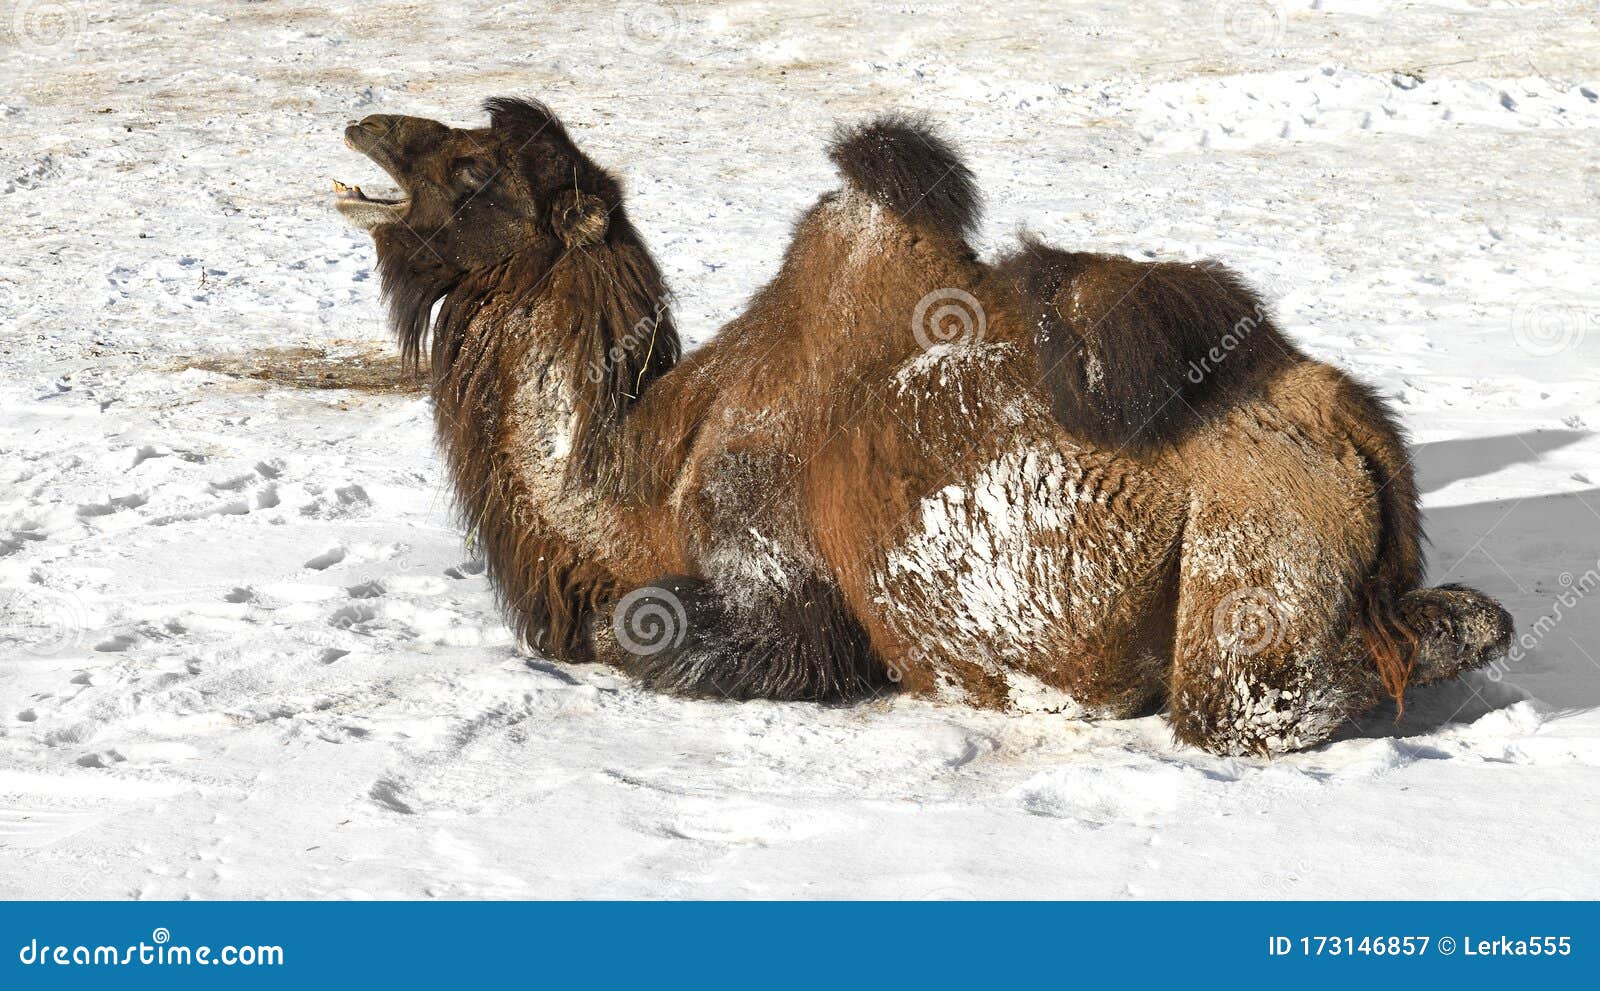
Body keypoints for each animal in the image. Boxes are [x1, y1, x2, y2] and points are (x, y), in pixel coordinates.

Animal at [334, 98, 1512, 755]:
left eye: (475, 167)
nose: (368, 125)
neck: (638, 485)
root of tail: (1347, 419)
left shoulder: (776, 589)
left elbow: (645, 633)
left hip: (1251, 541)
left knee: (1258, 699)